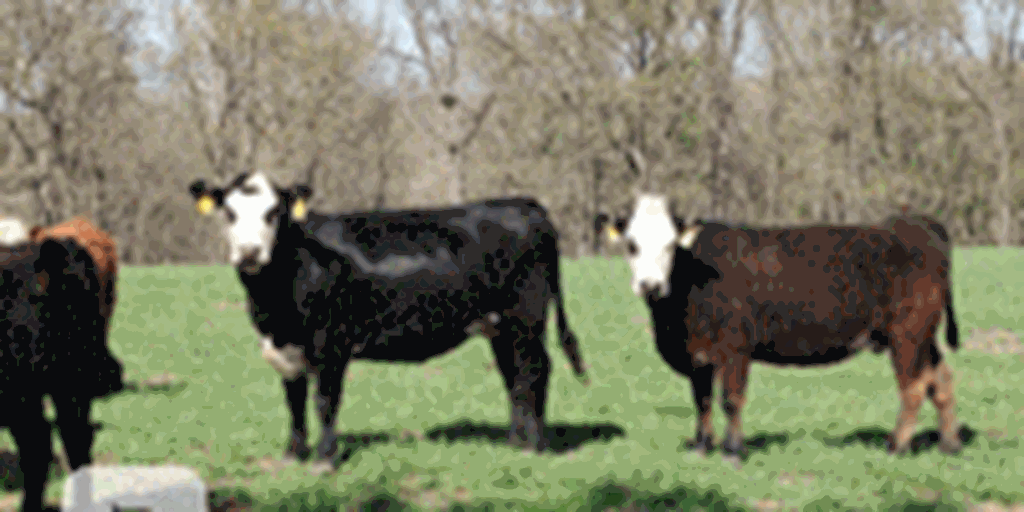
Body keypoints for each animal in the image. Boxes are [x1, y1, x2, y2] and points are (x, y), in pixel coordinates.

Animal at [187, 168, 588, 470]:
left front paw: (324, 460)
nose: (249, 253)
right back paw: (515, 443)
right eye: (229, 213)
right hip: (499, 326)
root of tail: (525, 204)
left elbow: (324, 401)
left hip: (526, 318)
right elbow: (294, 402)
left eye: (274, 212)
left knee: (535, 369)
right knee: (514, 377)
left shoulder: (330, 342)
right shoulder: (285, 350)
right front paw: (292, 456)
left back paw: (534, 446)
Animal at [596, 193, 962, 464]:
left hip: (907, 333)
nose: (650, 284)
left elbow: (731, 399)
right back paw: (949, 444)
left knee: (914, 387)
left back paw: (897, 446)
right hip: (923, 336)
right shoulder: (697, 356)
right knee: (941, 380)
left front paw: (733, 451)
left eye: (671, 245)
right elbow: (702, 401)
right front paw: (702, 447)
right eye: (631, 244)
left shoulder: (734, 347)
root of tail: (914, 223)